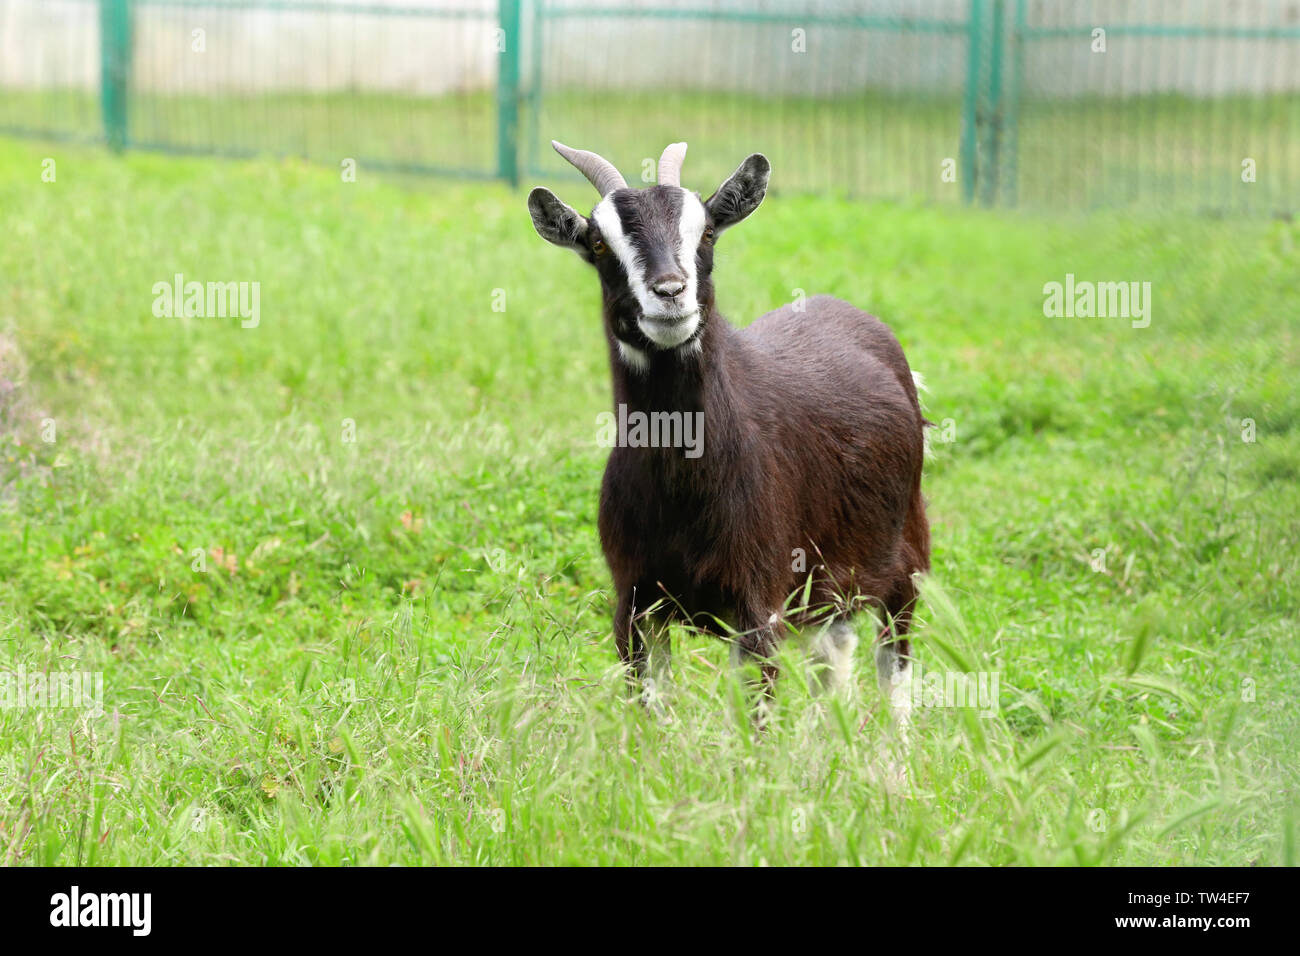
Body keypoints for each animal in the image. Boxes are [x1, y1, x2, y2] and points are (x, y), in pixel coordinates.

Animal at [528, 141, 930, 725]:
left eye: (708, 232)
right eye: (599, 244)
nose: (670, 292)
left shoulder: (758, 604)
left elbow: (753, 723)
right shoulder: (635, 601)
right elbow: (649, 714)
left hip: (905, 558)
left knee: (892, 669)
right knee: (834, 657)